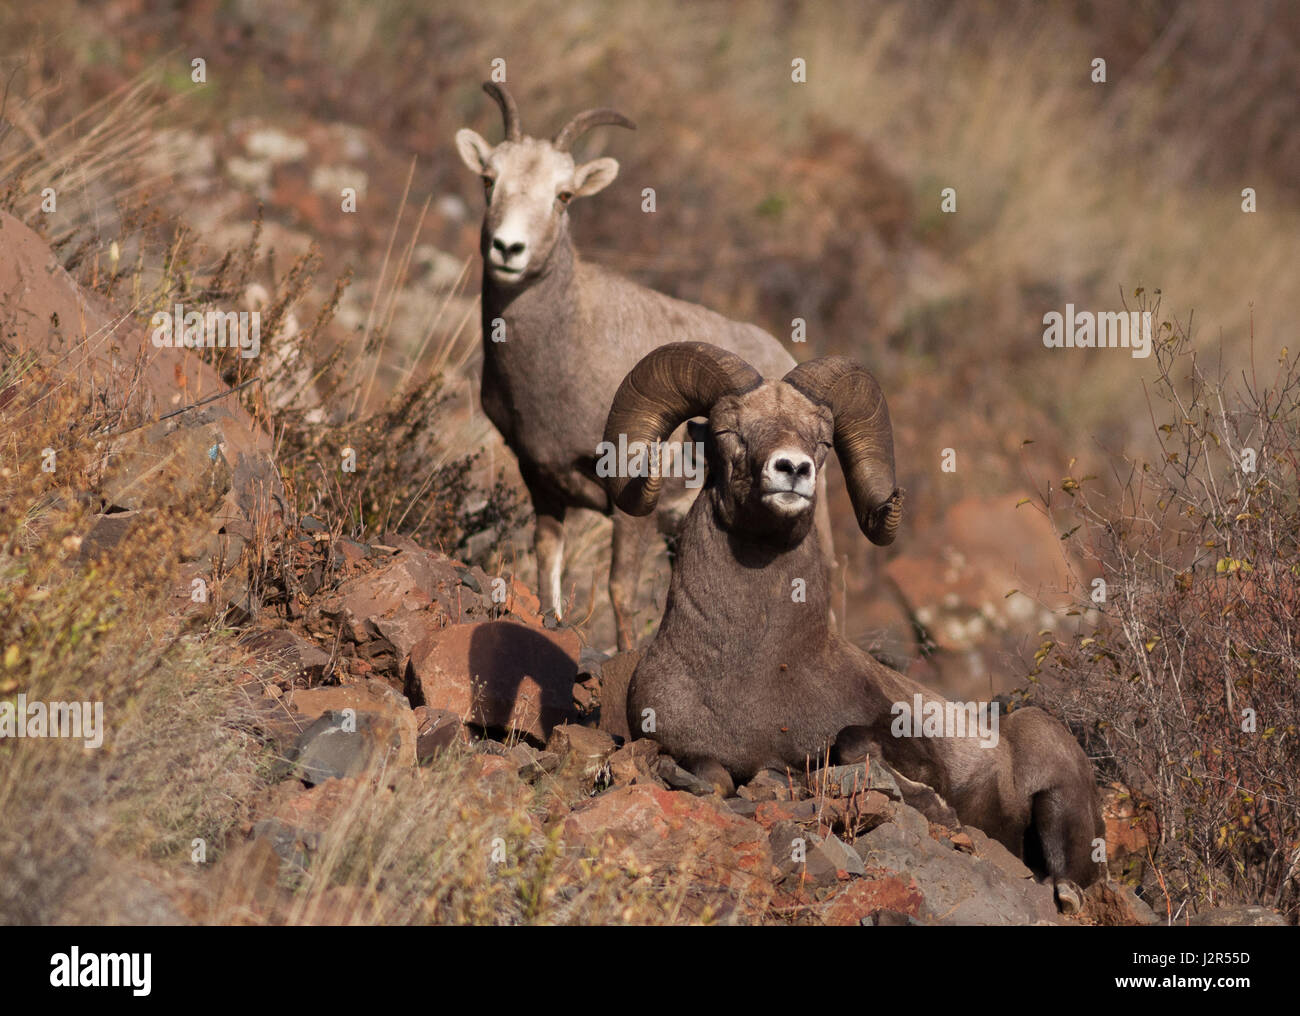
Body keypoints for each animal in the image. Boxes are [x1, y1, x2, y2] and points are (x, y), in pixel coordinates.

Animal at [455, 82, 834, 650]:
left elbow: (620, 592)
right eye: (488, 179)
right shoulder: (541, 484)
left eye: (564, 196)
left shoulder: (629, 505)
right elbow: (549, 572)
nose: (508, 249)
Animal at [602, 340, 1105, 907]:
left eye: (821, 441)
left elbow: (850, 744)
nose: (793, 469)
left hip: (1052, 785)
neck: (751, 671)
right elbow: (714, 779)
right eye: (729, 430)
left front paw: (930, 802)